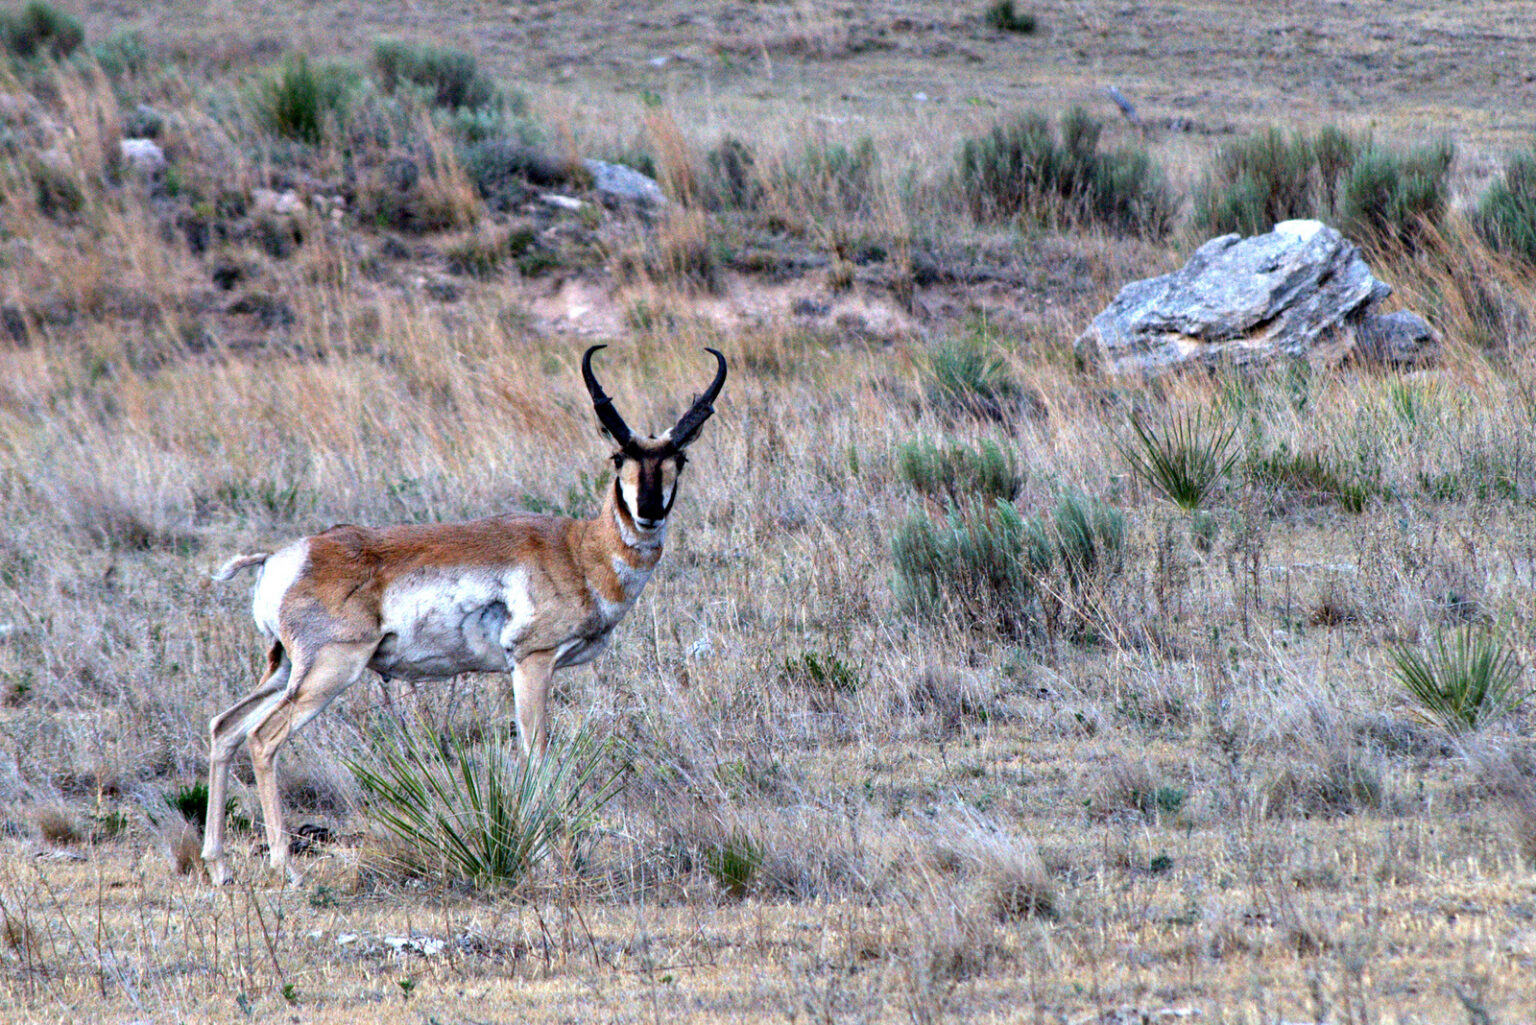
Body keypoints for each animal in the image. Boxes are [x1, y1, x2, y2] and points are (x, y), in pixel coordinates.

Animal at [200, 345, 726, 884]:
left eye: (679, 458)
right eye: (618, 456)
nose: (649, 513)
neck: (578, 549)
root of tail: (282, 557)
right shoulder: (532, 663)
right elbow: (535, 755)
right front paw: (542, 855)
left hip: (284, 670)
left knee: (225, 727)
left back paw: (218, 867)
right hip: (329, 671)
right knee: (263, 739)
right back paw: (286, 868)